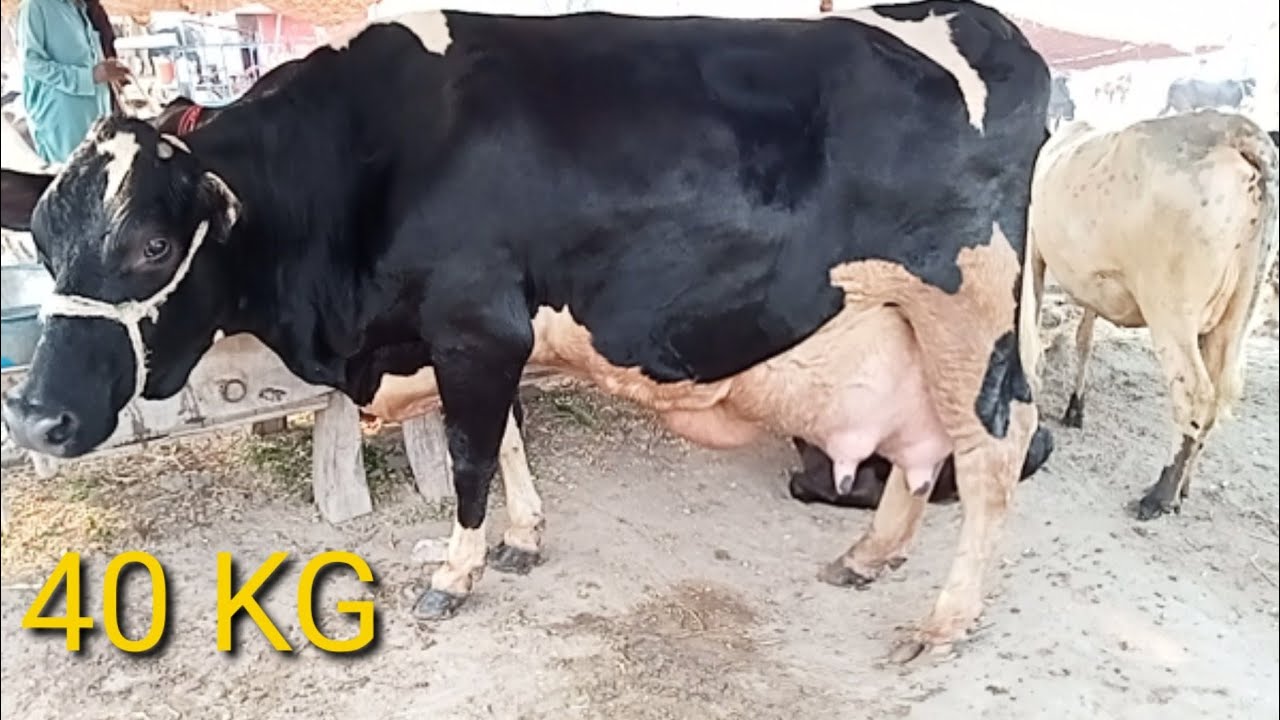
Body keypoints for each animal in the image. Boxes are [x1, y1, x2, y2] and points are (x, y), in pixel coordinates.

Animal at [0, 4, 1051, 661]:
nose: (37, 418)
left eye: (151, 244)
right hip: (905, 326)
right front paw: (522, 539)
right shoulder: (473, 336)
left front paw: (457, 571)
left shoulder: (474, 326)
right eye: (43, 240)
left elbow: (470, 457)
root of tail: (985, 24)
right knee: (923, 445)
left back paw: (943, 622)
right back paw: (869, 556)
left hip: (971, 309)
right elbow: (504, 440)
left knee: (995, 451)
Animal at [1021, 110, 1278, 520]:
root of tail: (1237, 130)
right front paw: (1075, 407)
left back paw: (1160, 494)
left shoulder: (1033, 249)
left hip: (1171, 309)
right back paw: (1184, 487)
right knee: (1217, 396)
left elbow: (1030, 338)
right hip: (1234, 315)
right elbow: (1084, 339)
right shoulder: (1091, 282)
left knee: (1195, 392)